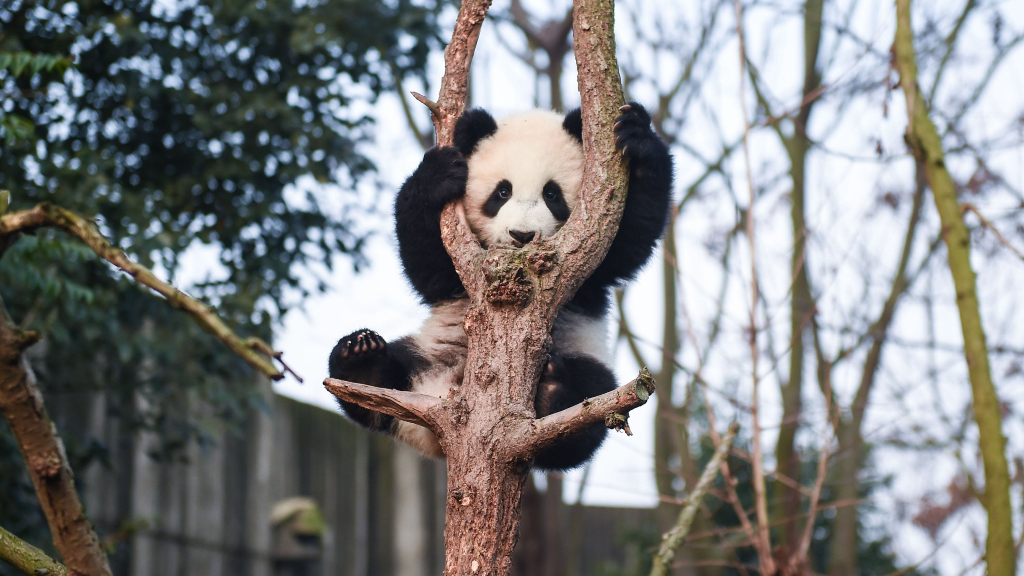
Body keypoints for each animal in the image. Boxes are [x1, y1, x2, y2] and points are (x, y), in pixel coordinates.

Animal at [329, 102, 672, 471]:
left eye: (552, 194)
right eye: (502, 192)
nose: (521, 235)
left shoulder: (592, 267)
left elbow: (630, 241)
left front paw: (637, 136)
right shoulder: (458, 270)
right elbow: (426, 265)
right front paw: (438, 175)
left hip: (585, 357)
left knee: (589, 404)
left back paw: (555, 392)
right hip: (429, 352)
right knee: (378, 378)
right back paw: (362, 359)